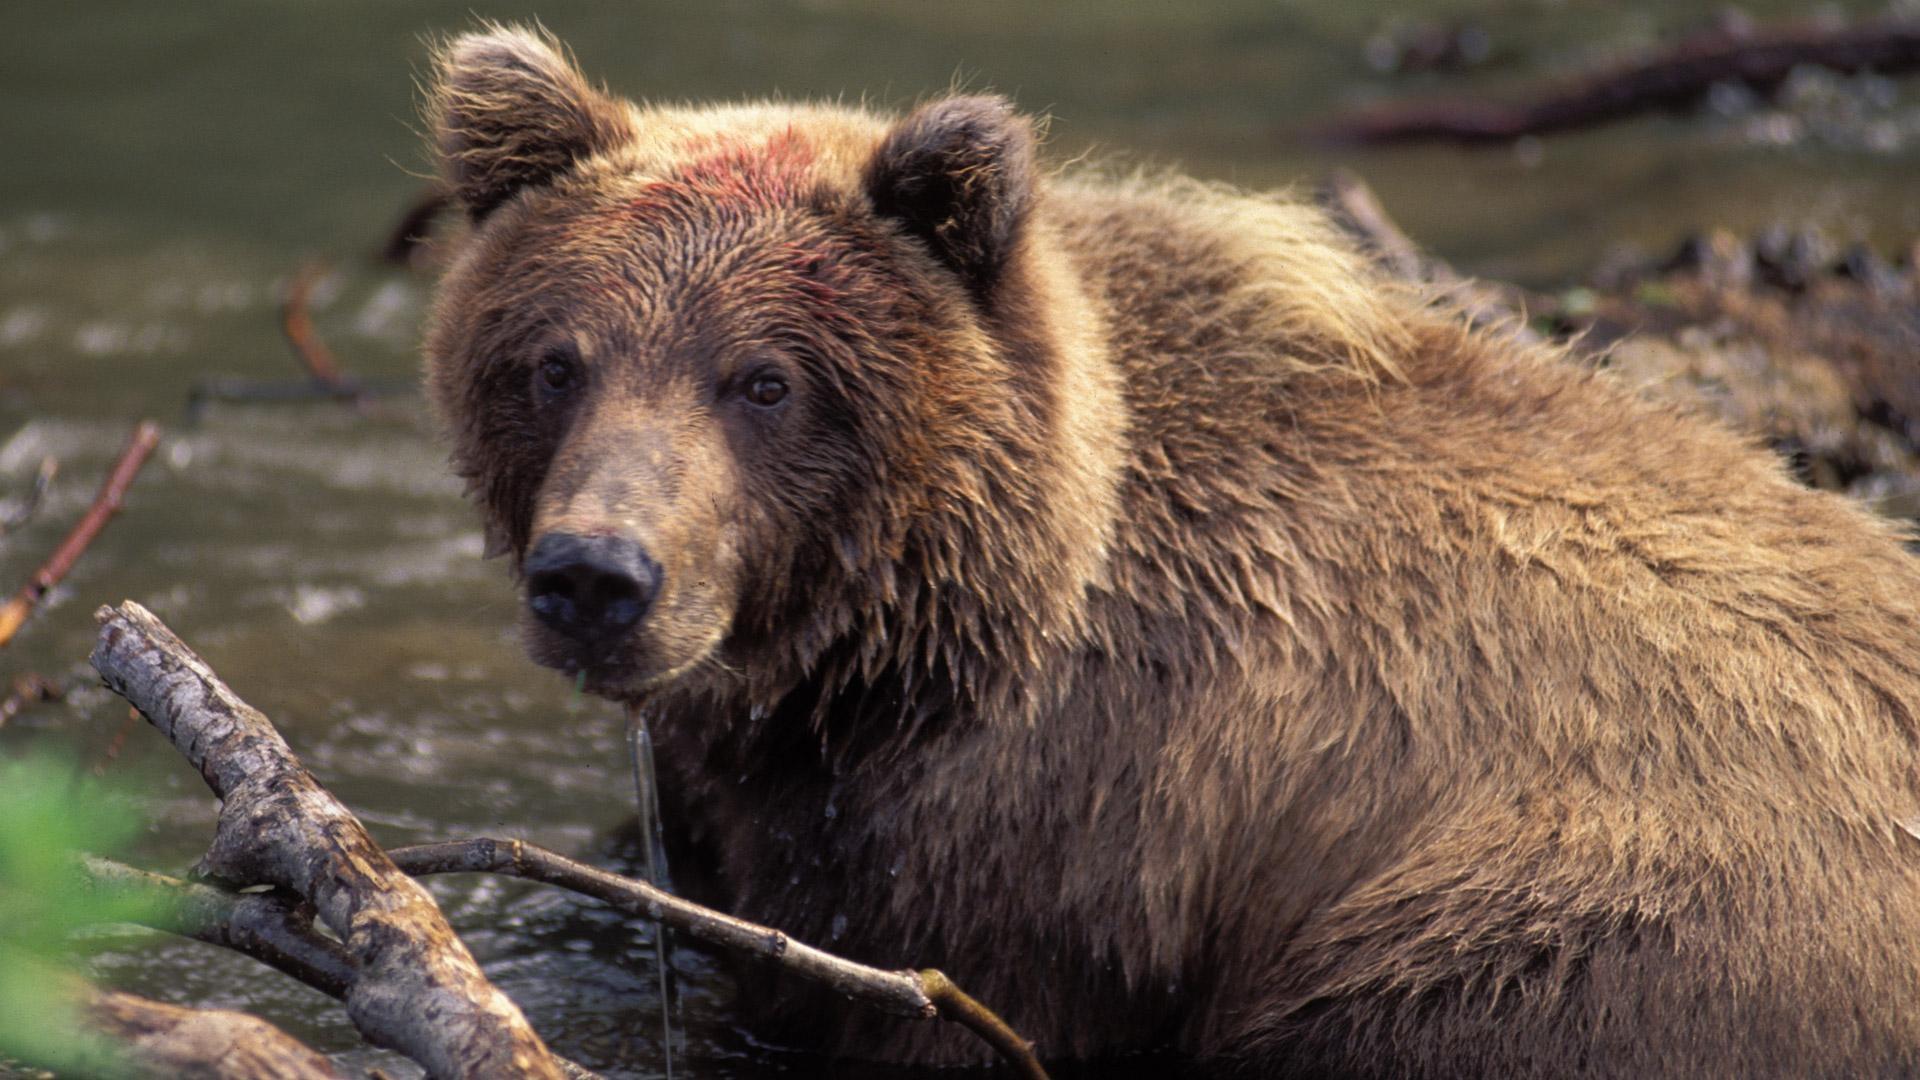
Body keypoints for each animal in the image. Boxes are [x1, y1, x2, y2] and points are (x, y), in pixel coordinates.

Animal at [422, 26, 1920, 1077]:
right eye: (555, 361)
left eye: (766, 381)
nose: (597, 577)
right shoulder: (755, 802)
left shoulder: (1042, 837)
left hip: (1559, 928)